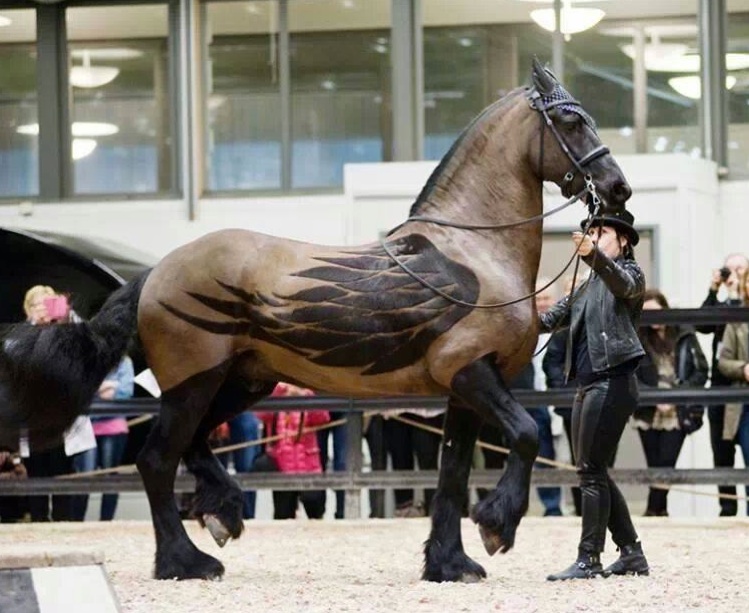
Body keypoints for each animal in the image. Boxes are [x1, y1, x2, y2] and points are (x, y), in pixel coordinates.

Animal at [0, 59, 631, 583]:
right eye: (571, 121)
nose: (618, 188)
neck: (473, 252)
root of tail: (156, 272)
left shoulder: (462, 389)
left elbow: (451, 474)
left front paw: (450, 564)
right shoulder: (472, 372)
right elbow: (525, 434)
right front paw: (497, 527)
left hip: (242, 382)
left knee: (193, 448)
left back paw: (222, 514)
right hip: (193, 383)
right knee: (156, 460)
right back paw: (186, 561)